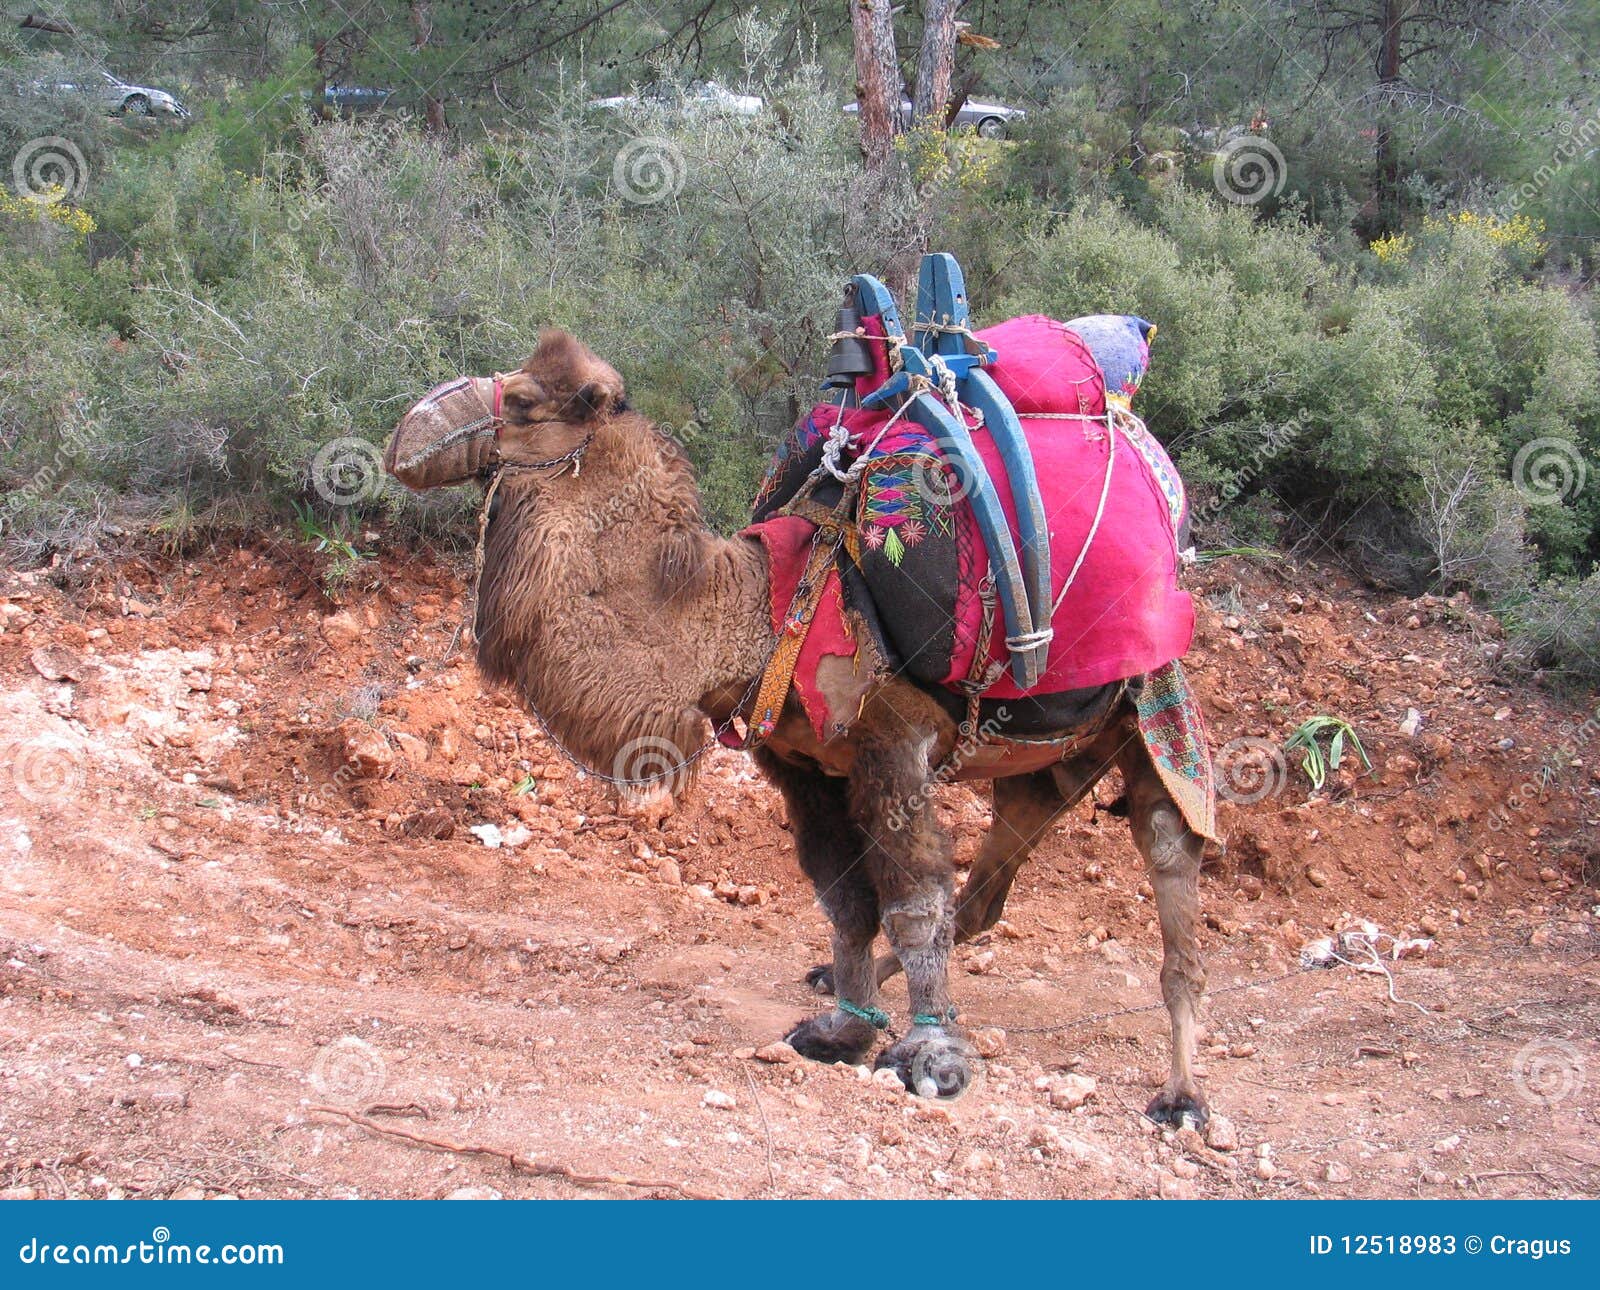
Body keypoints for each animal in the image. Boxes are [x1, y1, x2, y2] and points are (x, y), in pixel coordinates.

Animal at [385, 329, 1212, 1126]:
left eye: (524, 402)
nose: (407, 434)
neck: (761, 615)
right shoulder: (800, 764)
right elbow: (846, 900)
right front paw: (844, 1030)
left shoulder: (895, 742)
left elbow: (914, 900)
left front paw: (933, 1056)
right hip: (1047, 764)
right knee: (988, 892)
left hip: (1157, 714)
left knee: (1172, 867)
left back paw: (1182, 1097)